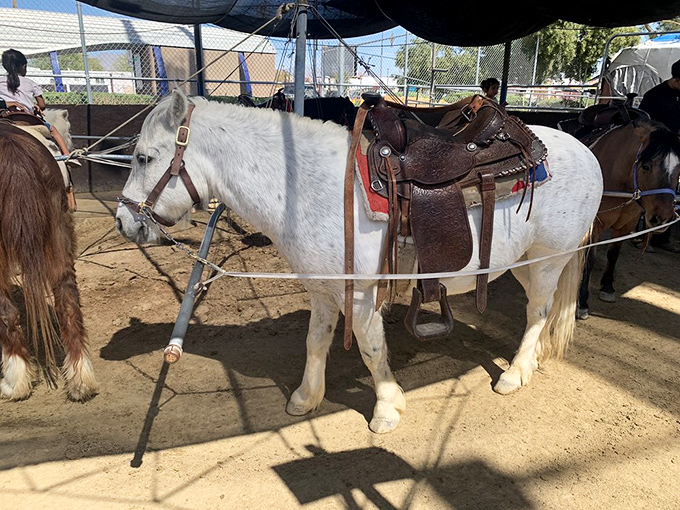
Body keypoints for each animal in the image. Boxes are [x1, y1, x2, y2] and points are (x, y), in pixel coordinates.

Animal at [115, 89, 603, 433]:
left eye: (144, 157)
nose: (124, 222)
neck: (310, 186)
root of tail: (584, 151)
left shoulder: (363, 294)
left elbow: (371, 350)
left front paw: (387, 408)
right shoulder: (323, 288)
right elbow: (315, 342)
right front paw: (305, 397)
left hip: (549, 258)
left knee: (538, 312)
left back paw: (515, 373)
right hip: (523, 261)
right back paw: (531, 362)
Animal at [577, 119, 680, 319]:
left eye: (679, 169)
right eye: (646, 166)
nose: (663, 218)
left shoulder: (626, 225)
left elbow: (613, 254)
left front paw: (607, 287)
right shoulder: (595, 224)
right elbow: (590, 258)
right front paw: (583, 302)